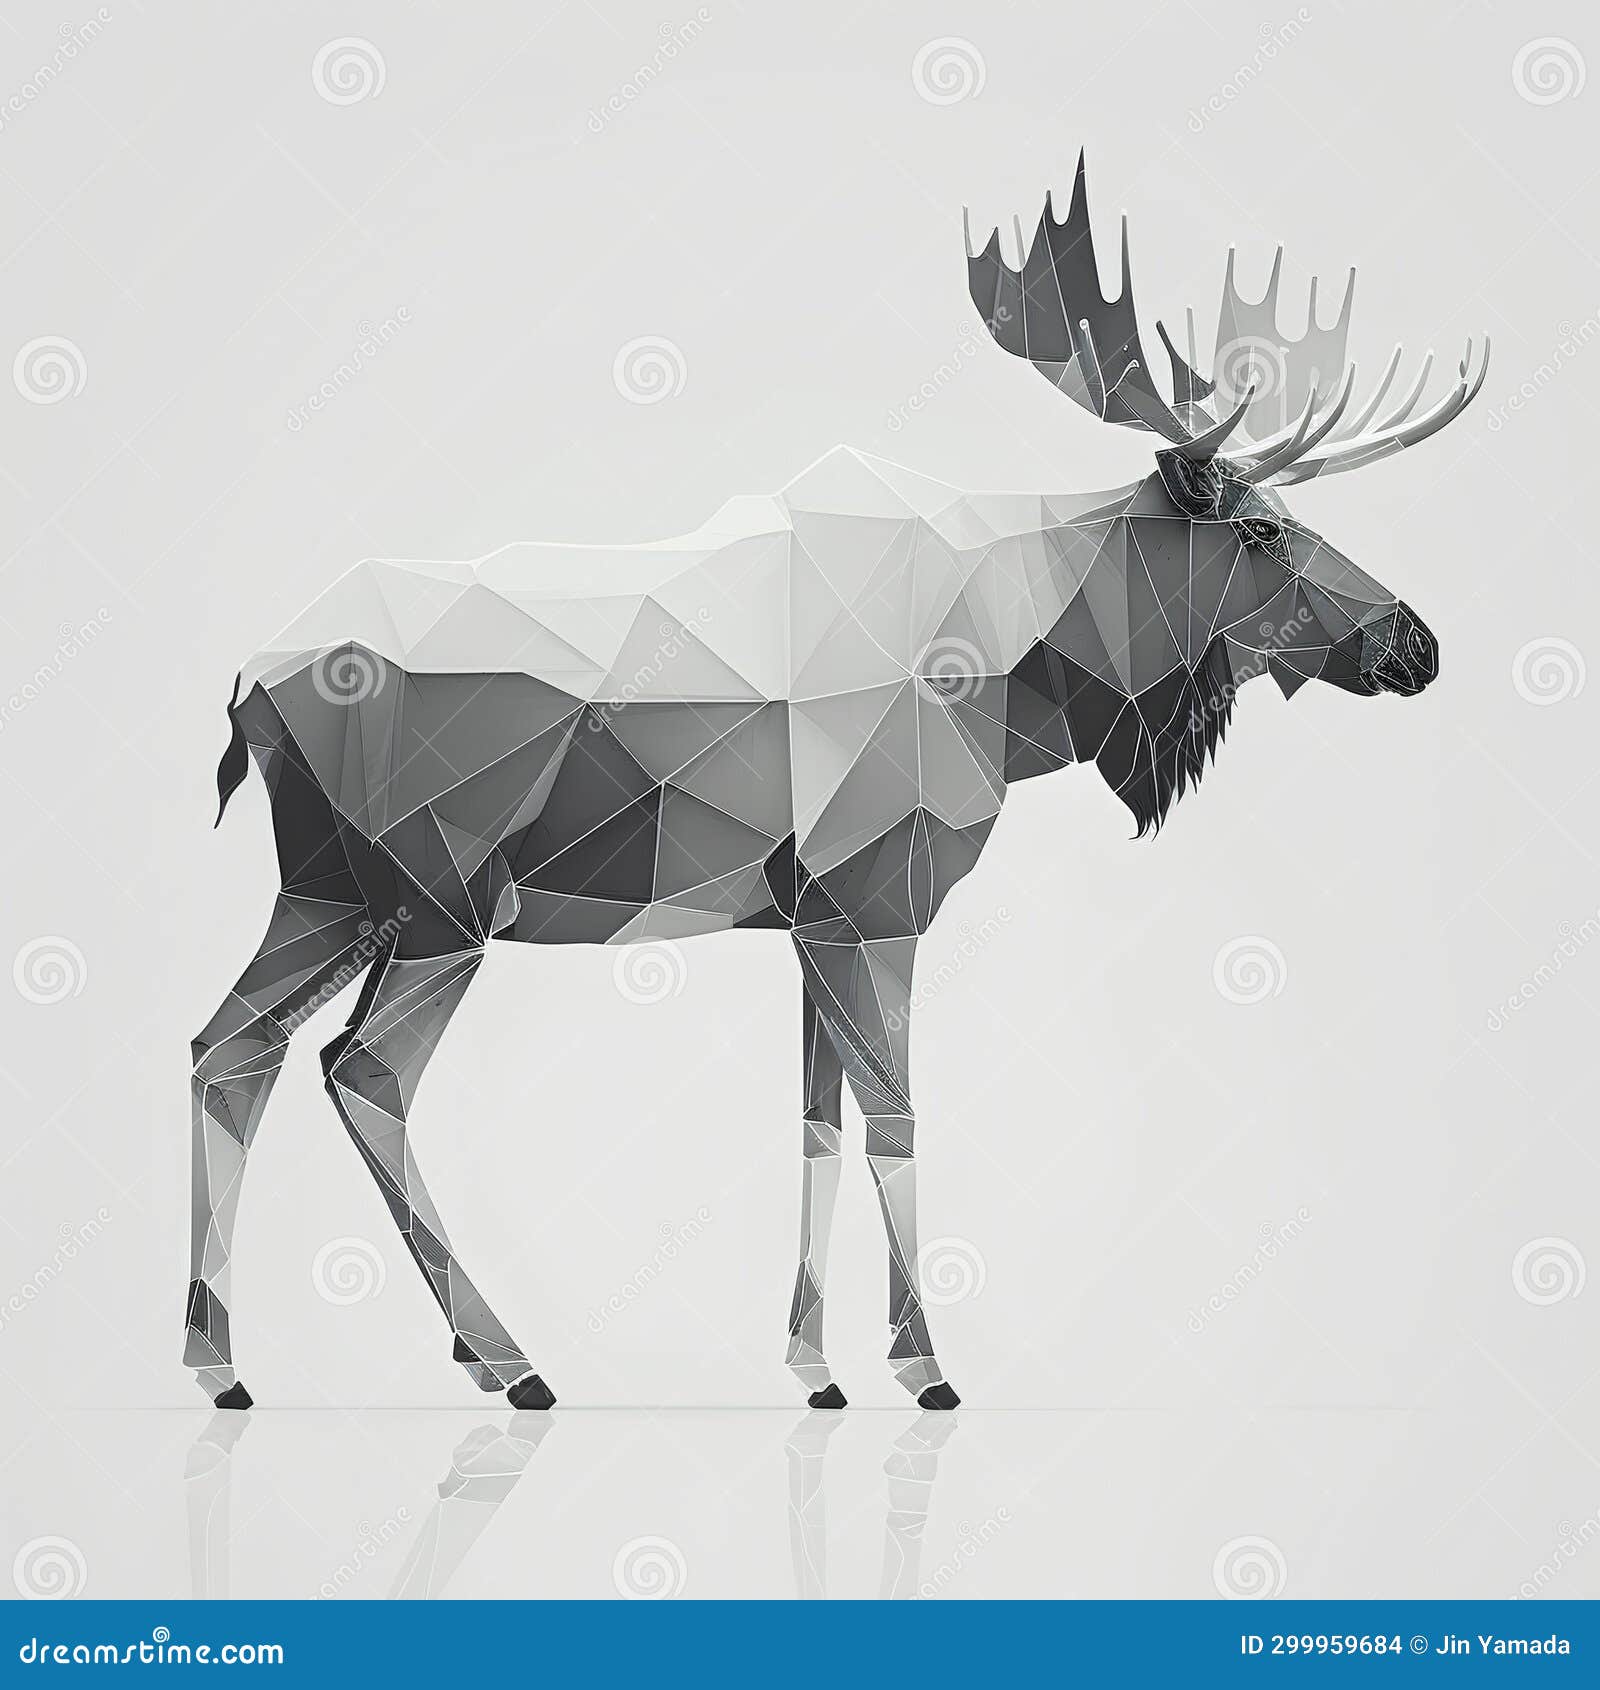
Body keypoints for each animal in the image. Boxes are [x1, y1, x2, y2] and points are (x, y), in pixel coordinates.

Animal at [189, 155, 1485, 1411]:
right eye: (1259, 530)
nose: (1416, 645)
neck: (1022, 684)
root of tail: (250, 686)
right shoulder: (876, 904)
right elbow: (896, 1119)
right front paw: (926, 1367)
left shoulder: (810, 919)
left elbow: (816, 1121)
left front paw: (815, 1368)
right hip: (442, 899)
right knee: (359, 1070)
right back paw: (509, 1362)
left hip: (326, 891)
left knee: (224, 1048)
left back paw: (223, 1362)